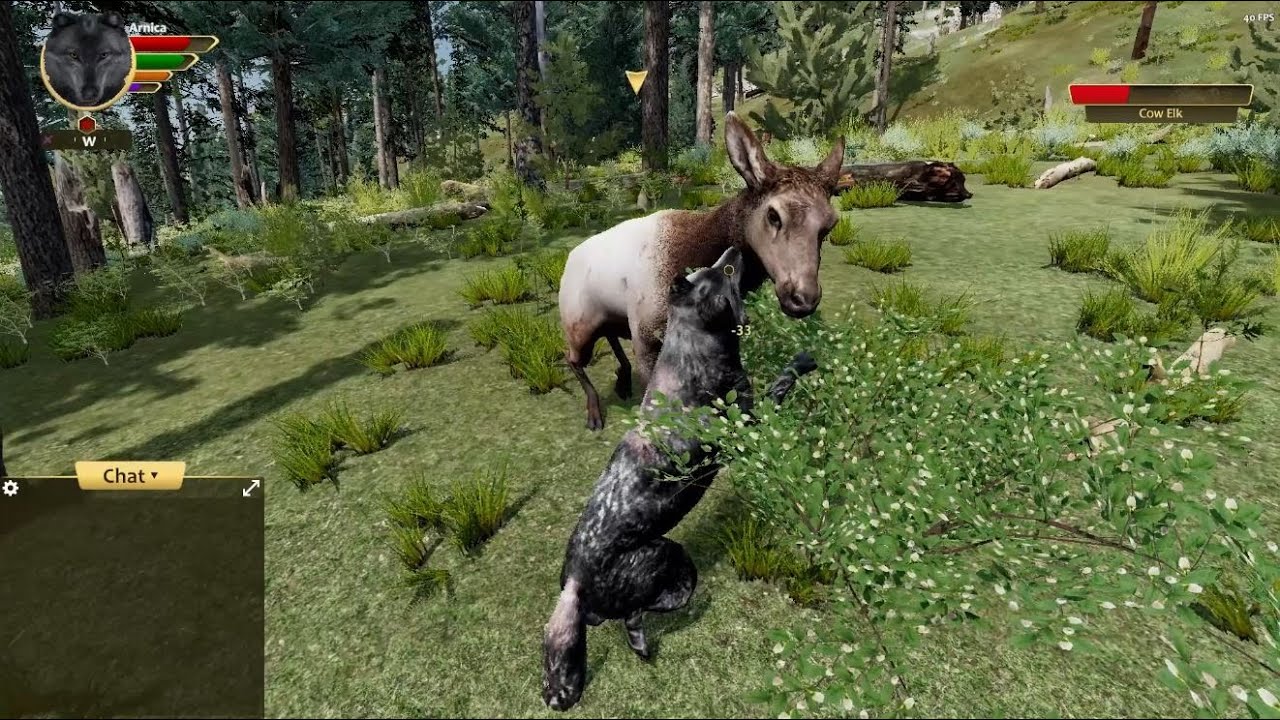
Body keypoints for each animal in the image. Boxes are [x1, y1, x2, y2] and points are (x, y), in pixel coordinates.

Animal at [558, 112, 843, 430]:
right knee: (572, 357)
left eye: (830, 224)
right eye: (773, 215)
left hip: (613, 318)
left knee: (611, 338)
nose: (803, 298)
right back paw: (594, 412)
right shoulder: (646, 337)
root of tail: (569, 259)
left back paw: (621, 382)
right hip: (579, 325)